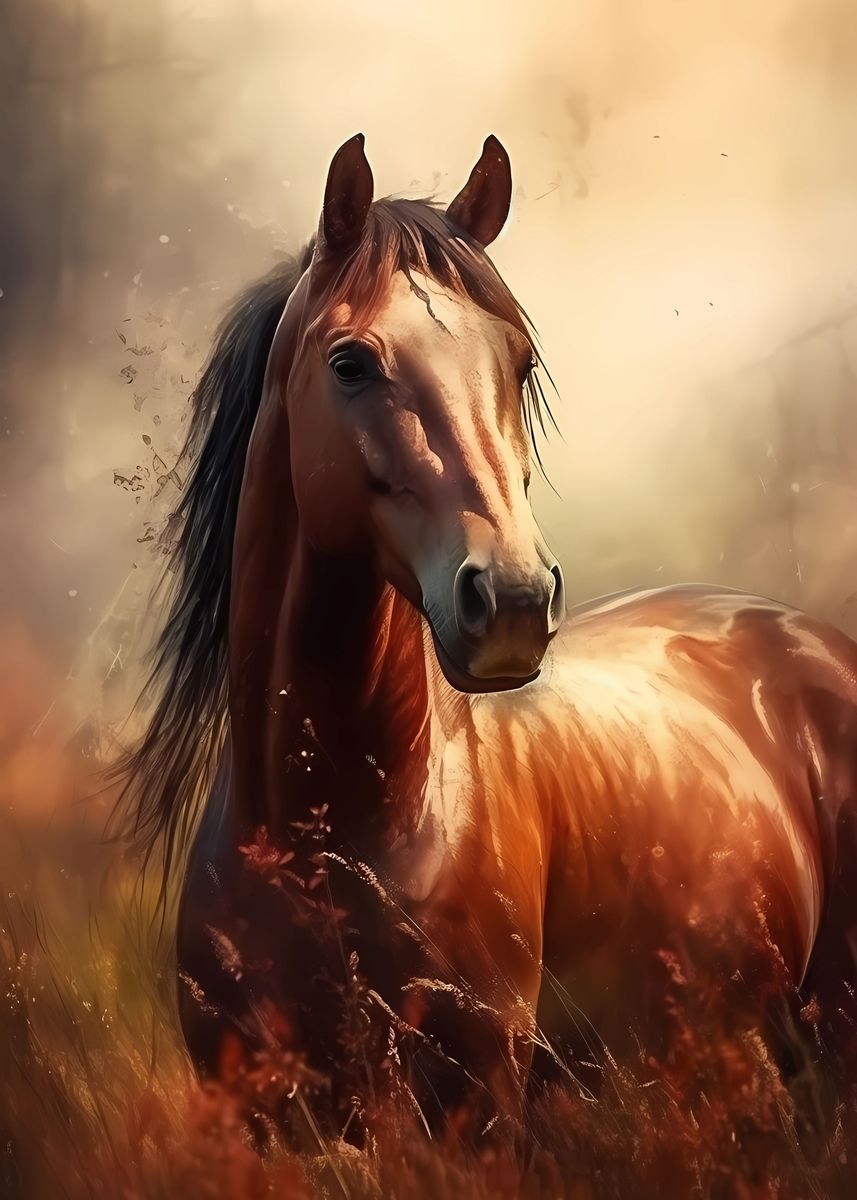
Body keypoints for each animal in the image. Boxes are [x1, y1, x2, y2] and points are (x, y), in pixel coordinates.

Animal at [124, 134, 857, 1143]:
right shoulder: (259, 1122)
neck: (332, 838)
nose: (510, 599)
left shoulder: (475, 1116)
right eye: (350, 363)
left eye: (520, 363)